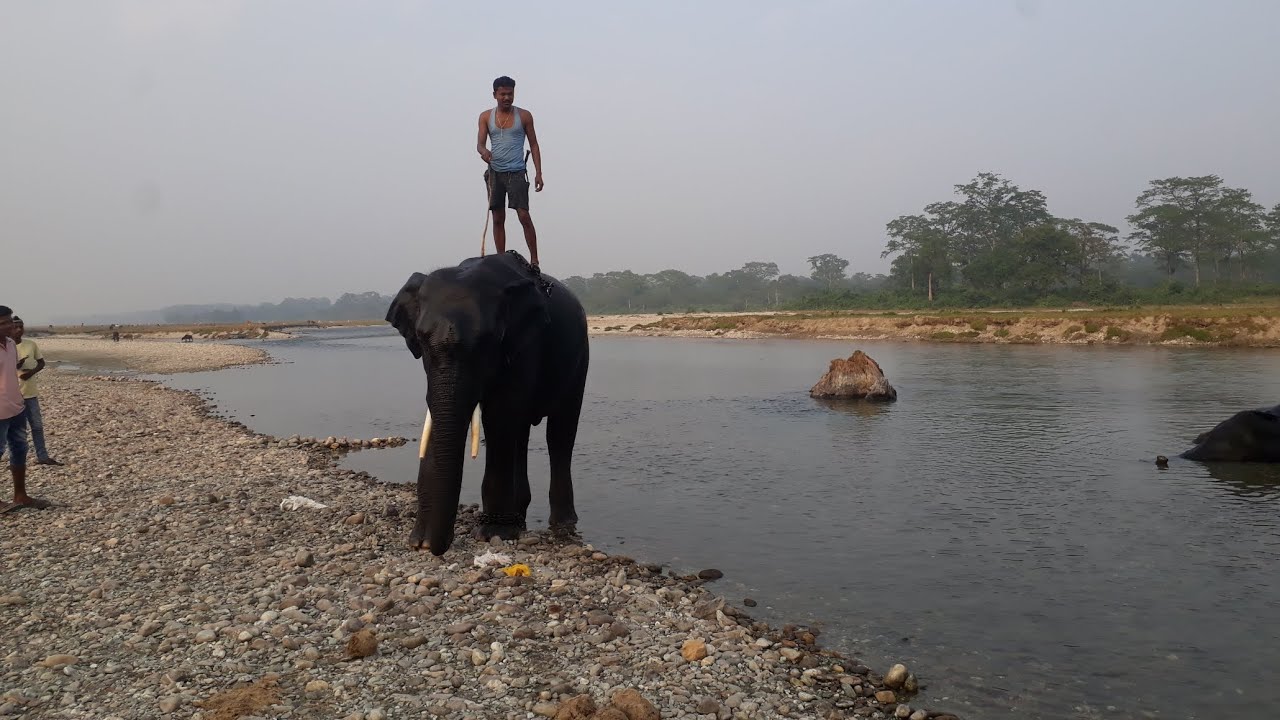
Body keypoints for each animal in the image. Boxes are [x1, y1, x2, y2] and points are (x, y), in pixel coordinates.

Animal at [386, 251, 590, 556]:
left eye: (488, 341)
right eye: (420, 338)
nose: (436, 548)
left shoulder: (526, 345)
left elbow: (500, 416)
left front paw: (494, 533)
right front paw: (419, 540)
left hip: (580, 359)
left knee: (559, 434)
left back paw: (562, 524)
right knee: (521, 435)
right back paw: (519, 516)